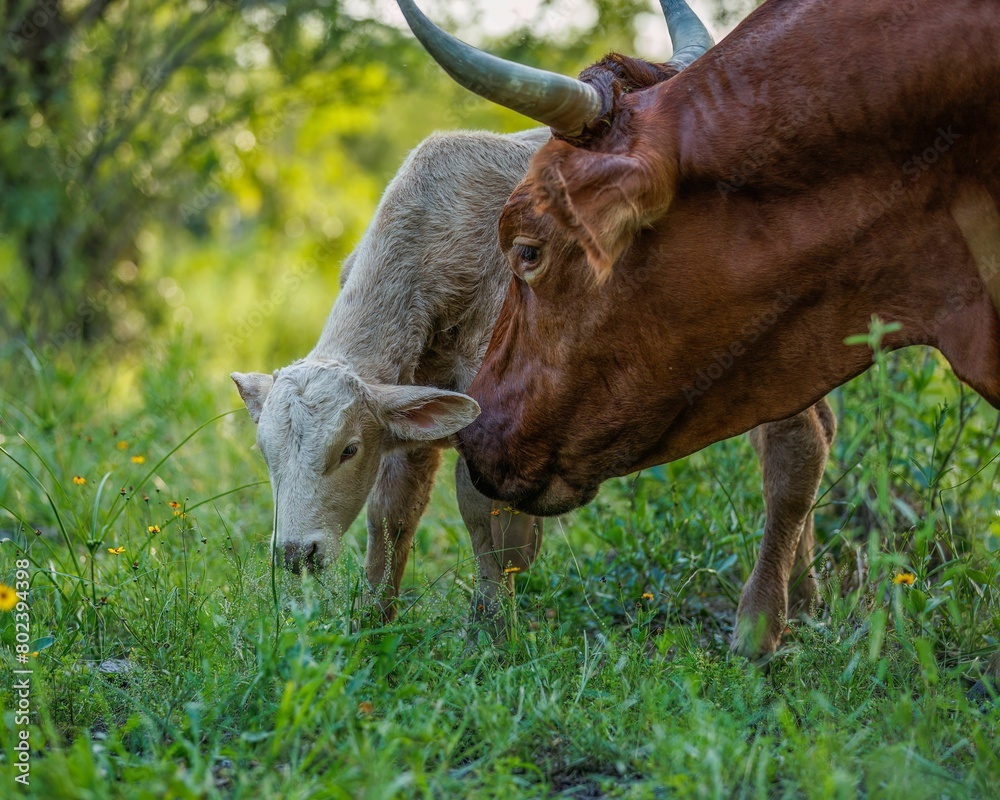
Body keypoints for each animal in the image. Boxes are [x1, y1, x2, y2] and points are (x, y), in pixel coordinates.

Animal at [231, 127, 550, 626]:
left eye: (349, 450)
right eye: (264, 451)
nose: (296, 554)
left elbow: (487, 525)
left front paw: (493, 627)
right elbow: (389, 516)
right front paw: (371, 620)